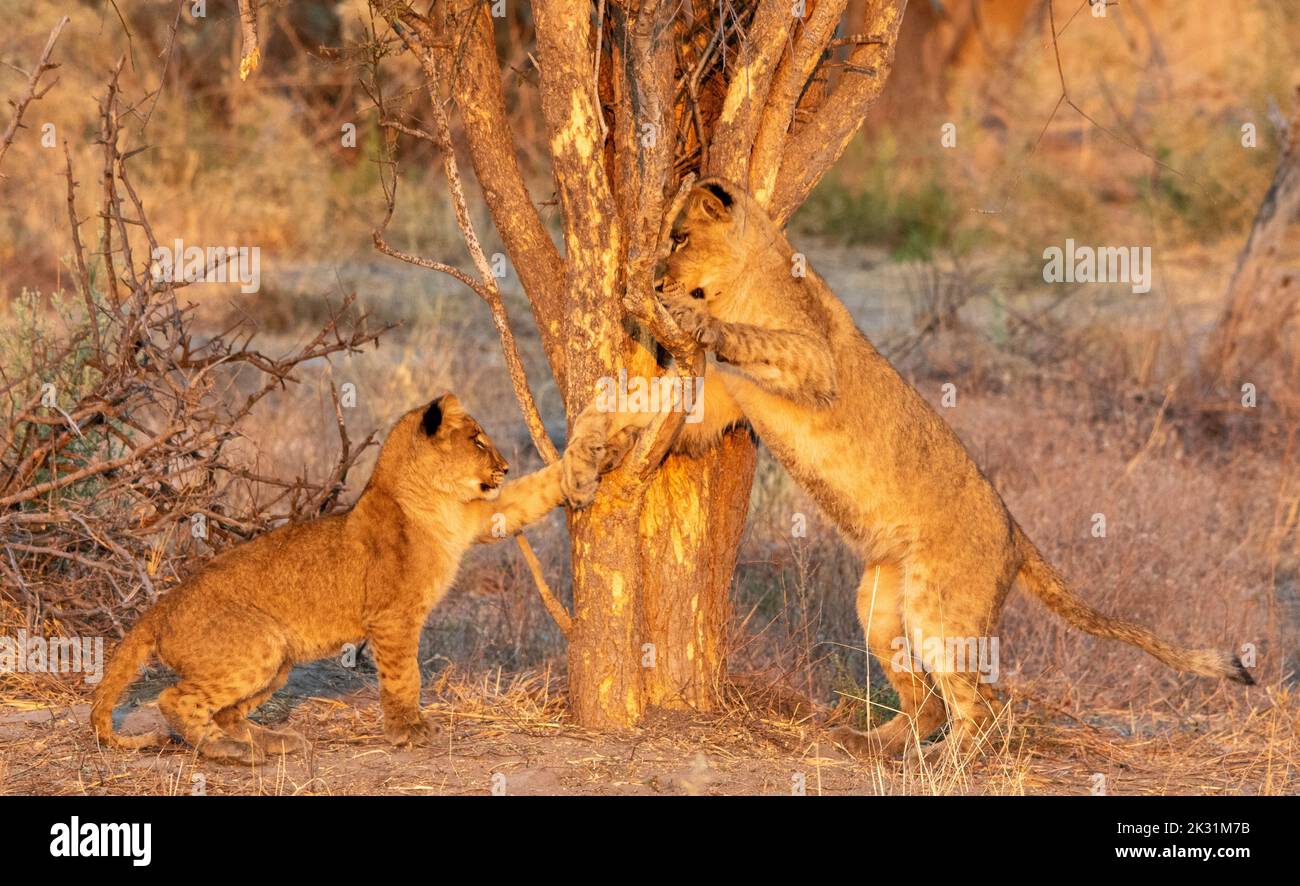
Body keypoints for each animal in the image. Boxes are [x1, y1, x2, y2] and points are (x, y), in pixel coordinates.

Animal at [91, 394, 635, 764]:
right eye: (477, 440)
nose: (502, 466)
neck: (433, 498)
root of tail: (162, 604)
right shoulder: (394, 617)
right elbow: (403, 676)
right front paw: (408, 731)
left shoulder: (485, 516)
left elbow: (539, 487)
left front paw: (597, 452)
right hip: (258, 644)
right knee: (174, 700)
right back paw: (230, 752)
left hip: (278, 659)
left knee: (225, 711)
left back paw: (273, 741)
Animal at [634, 178, 1252, 761]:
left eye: (681, 238)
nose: (658, 284)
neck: (746, 281)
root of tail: (1014, 532)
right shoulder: (729, 400)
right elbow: (687, 413)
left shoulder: (815, 360)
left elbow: (752, 339)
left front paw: (694, 319)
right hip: (883, 603)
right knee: (931, 701)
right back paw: (867, 745)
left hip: (938, 607)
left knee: (984, 704)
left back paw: (936, 765)